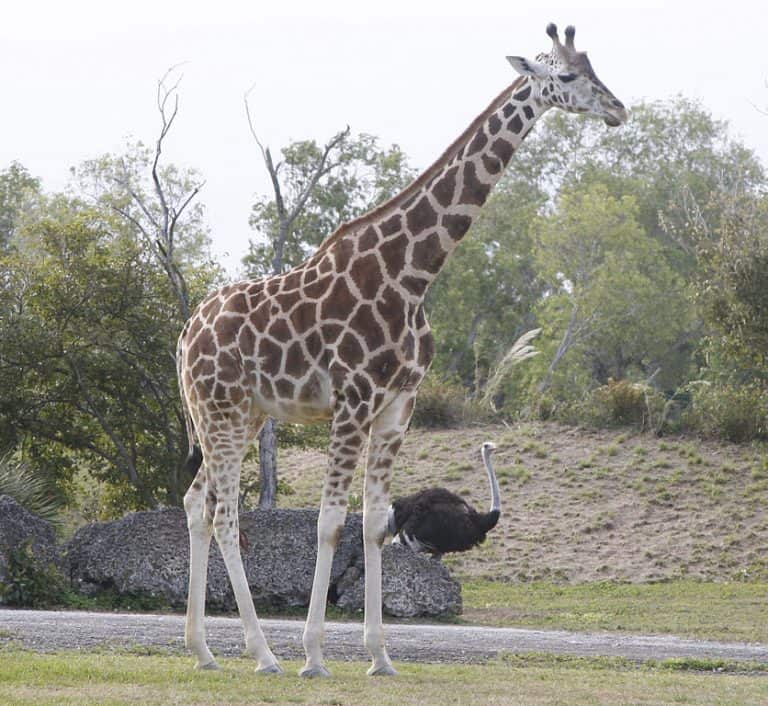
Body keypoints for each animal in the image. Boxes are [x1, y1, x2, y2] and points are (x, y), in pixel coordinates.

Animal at [177, 22, 627, 677]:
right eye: (567, 76)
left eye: (597, 70)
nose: (619, 109)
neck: (414, 275)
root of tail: (185, 333)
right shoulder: (353, 400)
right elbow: (329, 524)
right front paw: (315, 656)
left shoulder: (397, 406)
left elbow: (373, 524)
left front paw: (379, 657)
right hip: (223, 409)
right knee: (224, 514)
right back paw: (264, 654)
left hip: (243, 413)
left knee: (195, 503)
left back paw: (204, 650)